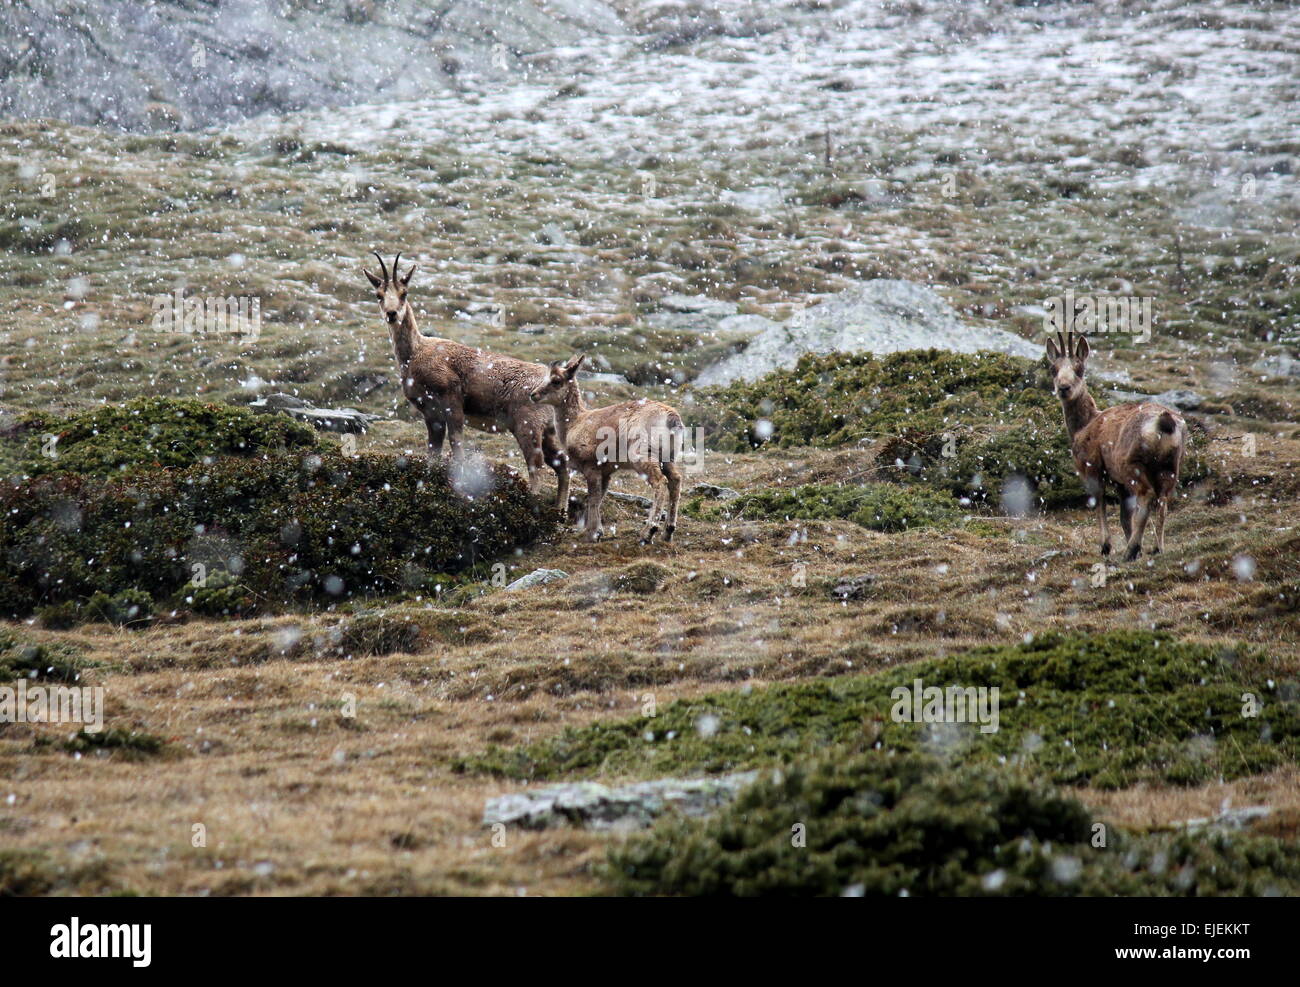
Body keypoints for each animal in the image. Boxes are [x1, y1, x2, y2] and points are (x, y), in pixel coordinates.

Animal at [361, 252, 567, 509]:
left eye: (404, 292)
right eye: (378, 295)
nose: (392, 314)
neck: (416, 354)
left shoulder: (452, 400)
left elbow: (456, 444)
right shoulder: (431, 412)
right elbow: (433, 451)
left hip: (527, 424)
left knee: (536, 462)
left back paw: (534, 502)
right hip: (547, 428)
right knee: (561, 462)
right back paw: (561, 509)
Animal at [528, 355, 685, 544]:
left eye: (556, 380)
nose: (533, 394)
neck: (575, 423)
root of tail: (672, 418)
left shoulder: (591, 465)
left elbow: (594, 497)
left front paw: (592, 534)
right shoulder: (607, 471)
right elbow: (599, 496)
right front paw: (592, 531)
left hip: (643, 455)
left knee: (660, 482)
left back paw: (648, 532)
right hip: (668, 457)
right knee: (675, 480)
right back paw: (668, 532)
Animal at [1046, 329, 1187, 561]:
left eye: (1079, 369)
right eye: (1053, 369)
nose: (1063, 388)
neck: (1084, 424)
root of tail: (1164, 423)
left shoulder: (1092, 467)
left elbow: (1100, 503)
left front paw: (1106, 546)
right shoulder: (1120, 484)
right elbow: (1123, 516)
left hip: (1132, 464)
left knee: (1147, 496)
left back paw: (1131, 550)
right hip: (1170, 465)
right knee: (1163, 501)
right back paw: (1157, 548)